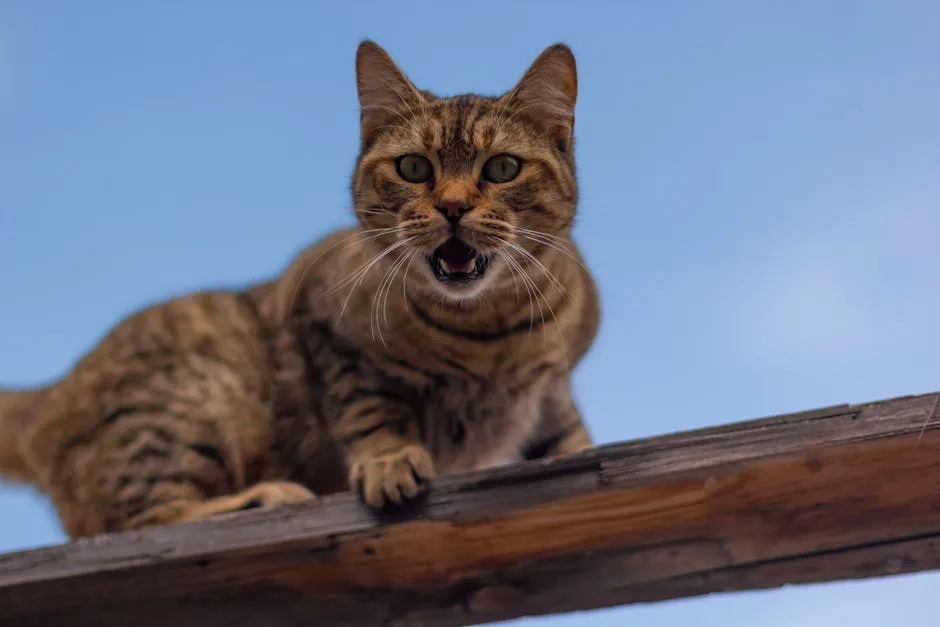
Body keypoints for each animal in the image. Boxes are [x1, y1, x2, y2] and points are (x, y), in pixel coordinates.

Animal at [0, 40, 604, 540]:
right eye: (414, 167)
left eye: (502, 168)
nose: (453, 207)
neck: (490, 333)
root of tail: (49, 396)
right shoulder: (321, 321)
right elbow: (370, 406)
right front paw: (389, 458)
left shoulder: (552, 389)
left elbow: (568, 434)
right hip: (181, 413)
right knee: (143, 518)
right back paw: (263, 496)